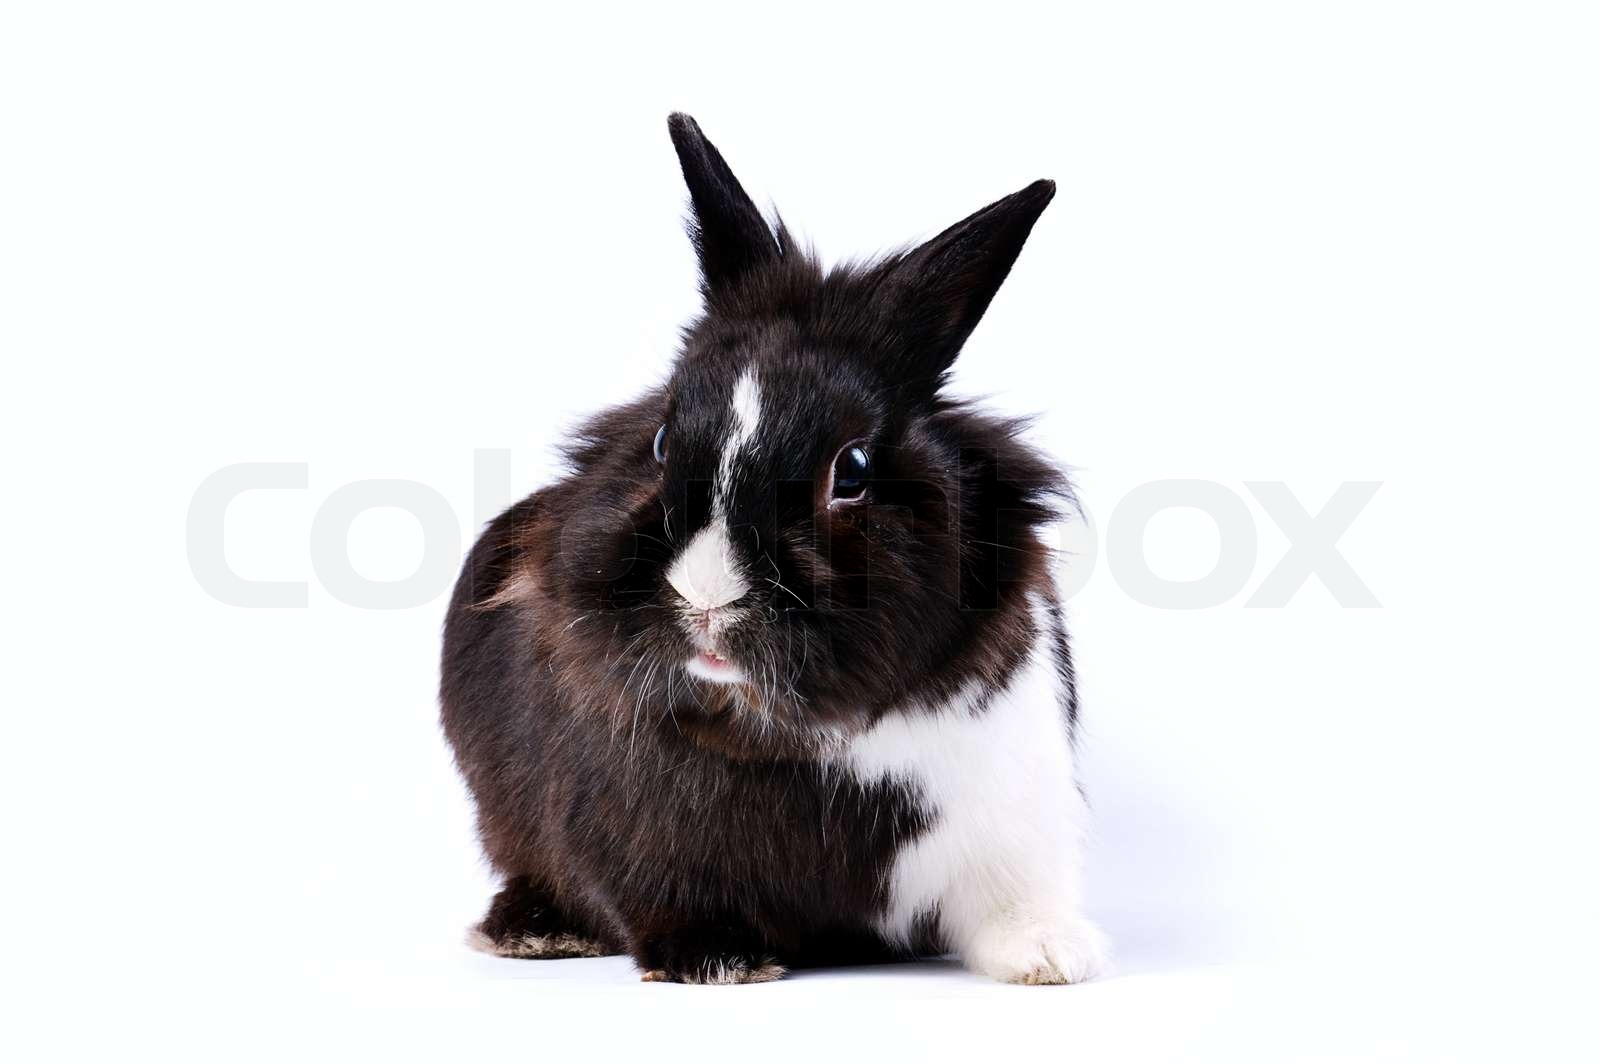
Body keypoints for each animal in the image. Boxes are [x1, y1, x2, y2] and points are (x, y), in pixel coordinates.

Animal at [440, 113, 1107, 985]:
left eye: (852, 470)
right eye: (662, 439)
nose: (706, 597)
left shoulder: (1017, 808)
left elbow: (1015, 900)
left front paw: (1052, 955)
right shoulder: (635, 844)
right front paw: (717, 958)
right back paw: (532, 930)